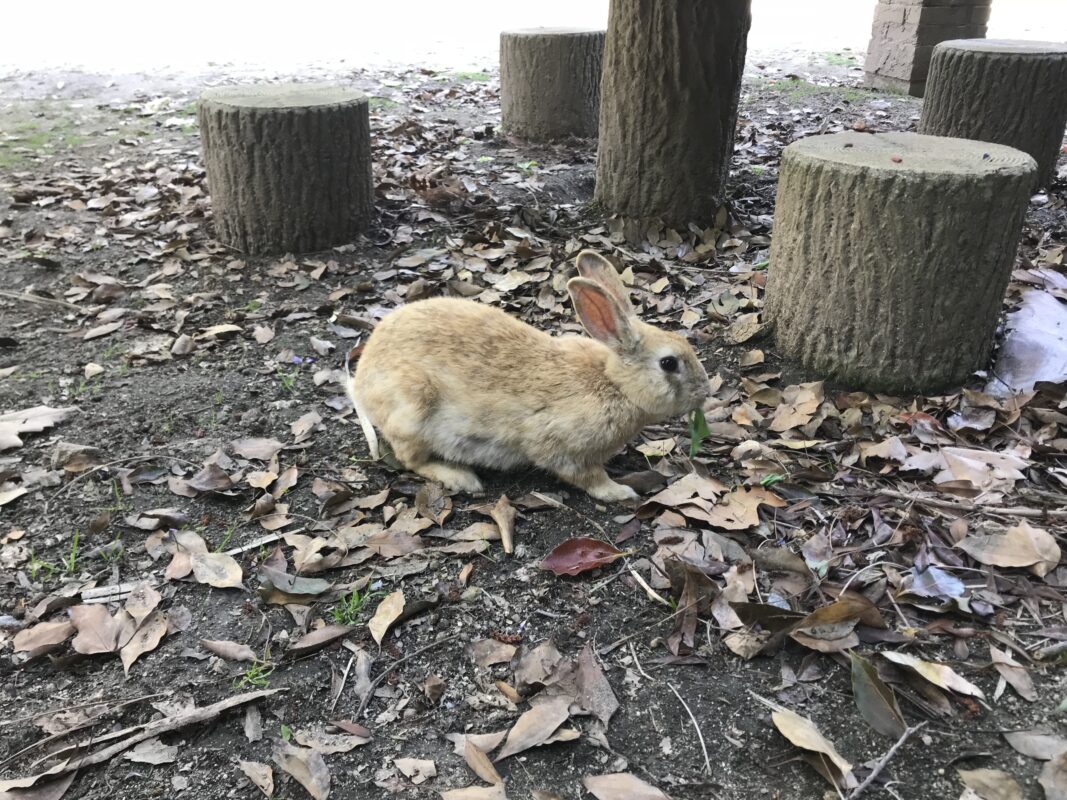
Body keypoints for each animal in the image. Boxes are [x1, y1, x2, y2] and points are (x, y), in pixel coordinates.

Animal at [347, 250, 711, 503]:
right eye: (669, 363)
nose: (705, 391)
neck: (615, 383)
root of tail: (362, 380)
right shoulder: (562, 448)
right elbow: (587, 476)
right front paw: (619, 492)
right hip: (412, 410)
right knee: (410, 459)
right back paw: (461, 478)